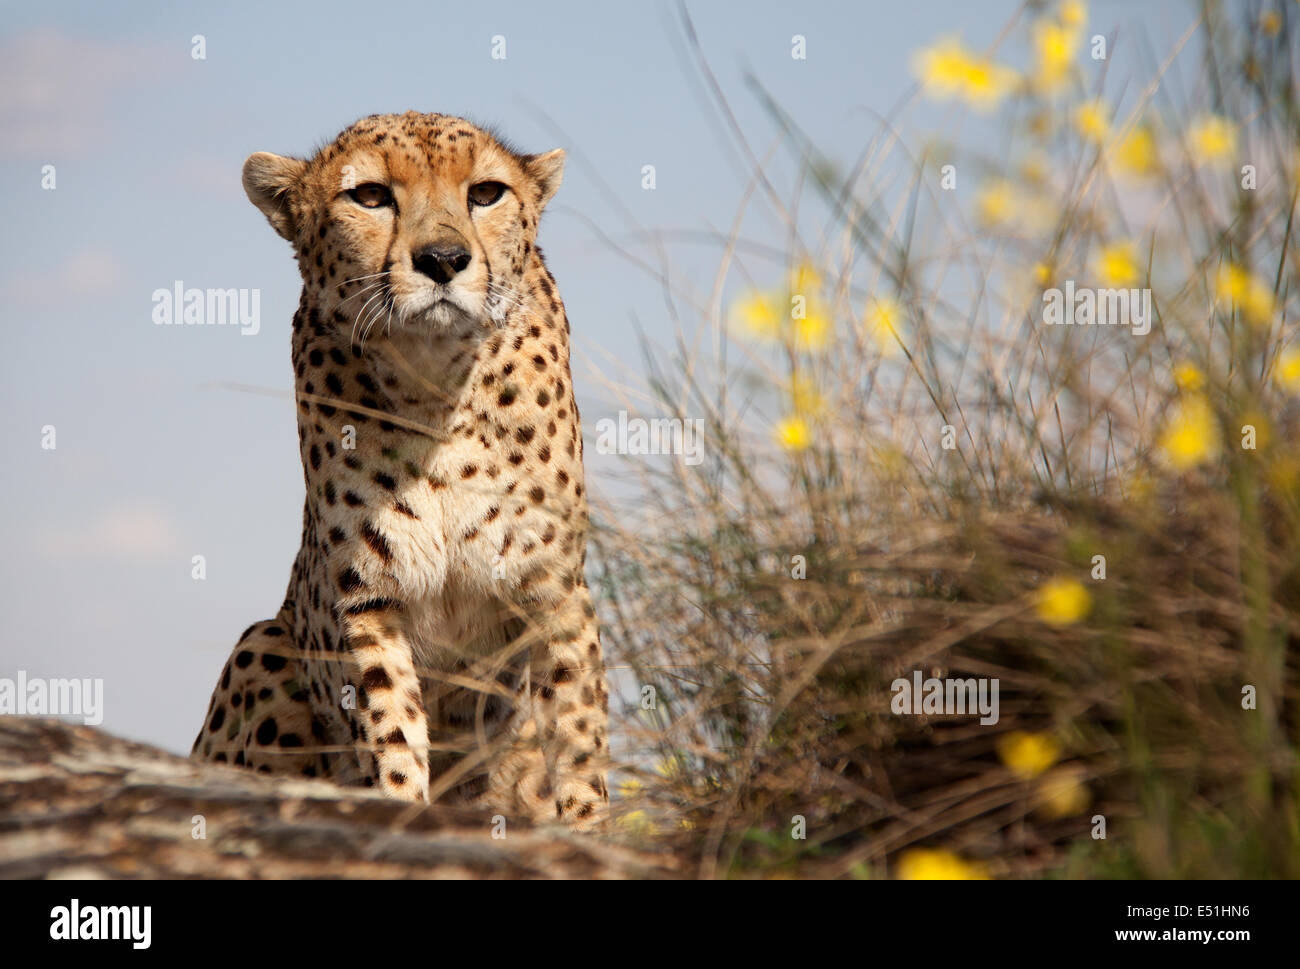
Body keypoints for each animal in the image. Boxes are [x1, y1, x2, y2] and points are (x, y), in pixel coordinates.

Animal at [191, 111, 609, 829]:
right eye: (370, 196)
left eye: (486, 193)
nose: (442, 259)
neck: (435, 383)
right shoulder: (369, 599)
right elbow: (391, 733)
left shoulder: (556, 590)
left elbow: (579, 740)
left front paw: (589, 830)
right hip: (264, 643)